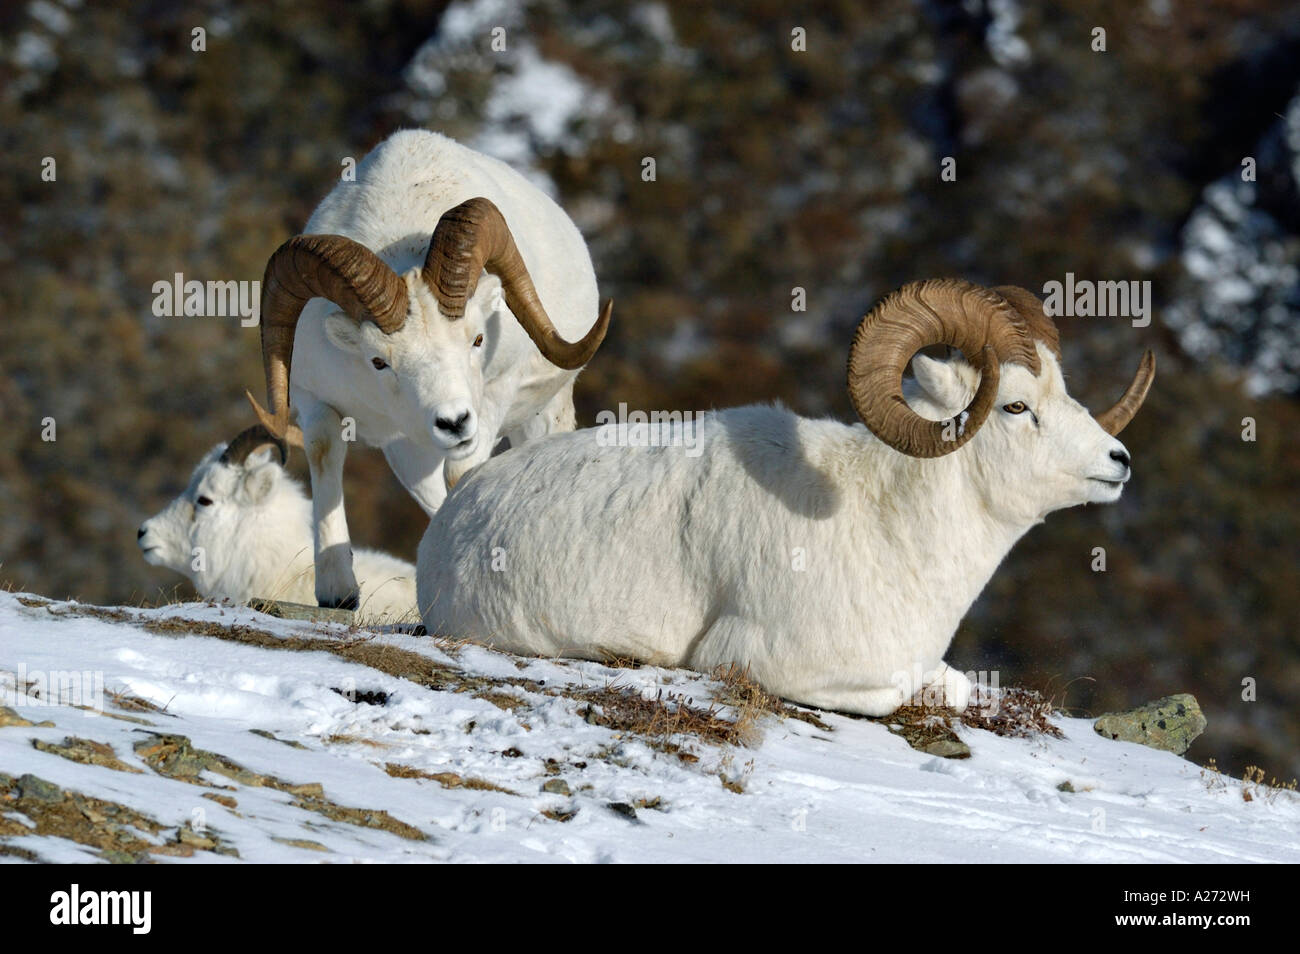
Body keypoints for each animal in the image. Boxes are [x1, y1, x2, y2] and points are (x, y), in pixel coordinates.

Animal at [245, 129, 611, 610]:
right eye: (379, 361)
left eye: (477, 340)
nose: (453, 423)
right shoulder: (317, 404)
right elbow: (325, 460)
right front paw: (338, 593)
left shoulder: (495, 394)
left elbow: (463, 472)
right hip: (411, 457)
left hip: (542, 416)